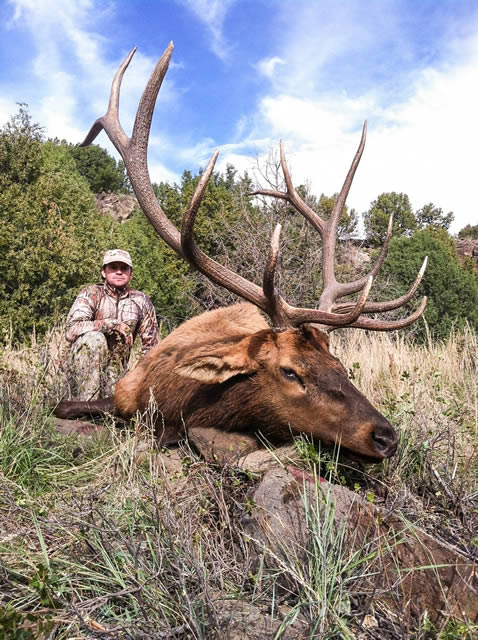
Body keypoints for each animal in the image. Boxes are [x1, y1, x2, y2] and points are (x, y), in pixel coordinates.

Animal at [55, 42, 428, 462]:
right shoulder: (123, 392)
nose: (386, 436)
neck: (176, 402)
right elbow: (64, 405)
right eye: (289, 371)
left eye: (341, 366)